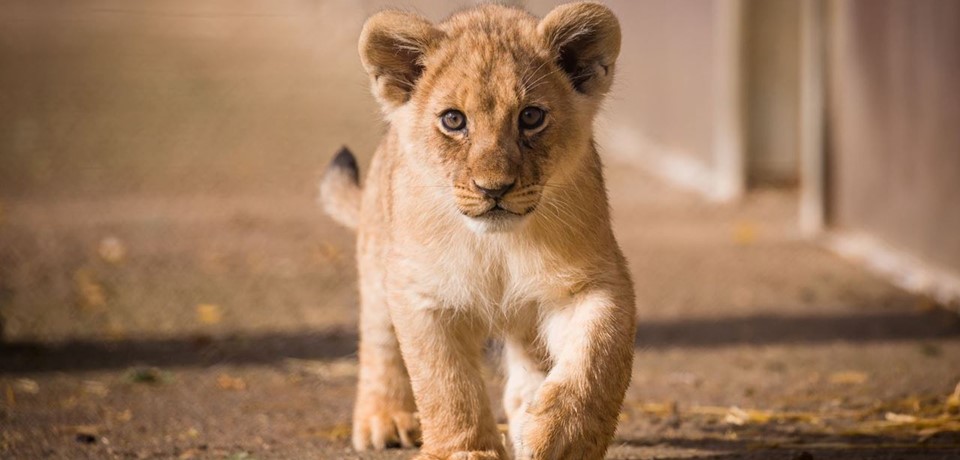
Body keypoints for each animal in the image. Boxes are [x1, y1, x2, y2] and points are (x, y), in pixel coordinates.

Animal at [319, 2, 636, 458]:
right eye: (453, 120)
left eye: (531, 117)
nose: (494, 188)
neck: (496, 248)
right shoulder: (422, 293)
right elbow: (445, 384)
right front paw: (463, 449)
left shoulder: (591, 280)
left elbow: (598, 357)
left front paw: (561, 436)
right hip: (378, 259)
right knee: (379, 340)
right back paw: (385, 418)